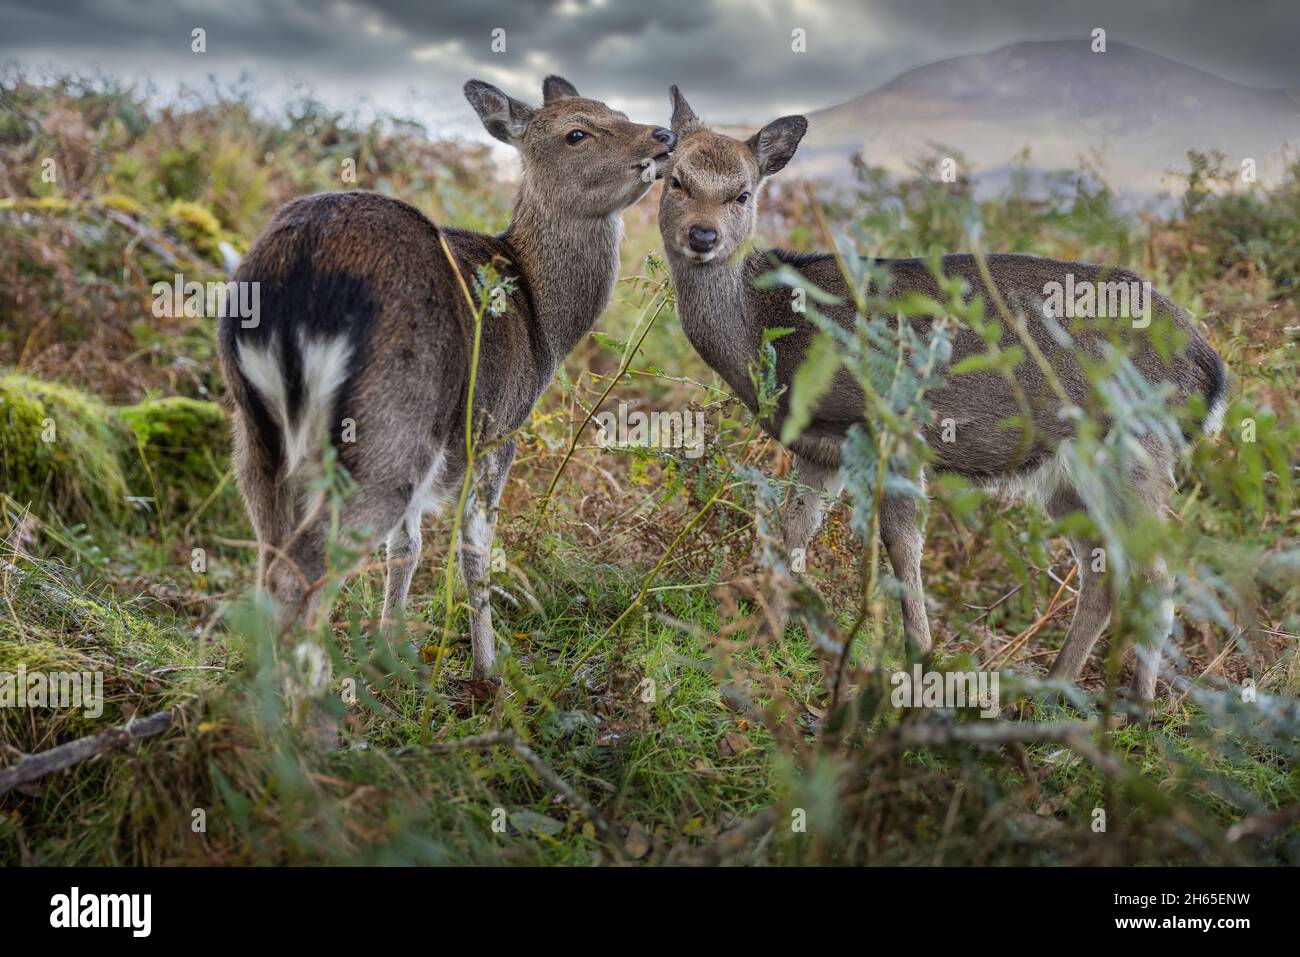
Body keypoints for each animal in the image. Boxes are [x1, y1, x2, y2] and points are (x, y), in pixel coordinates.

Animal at [217, 76, 677, 685]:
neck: (543, 327)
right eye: (577, 131)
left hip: (254, 433)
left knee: (268, 562)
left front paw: (391, 653)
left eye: (618, 111)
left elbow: (407, 544)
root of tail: (298, 269)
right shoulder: (497, 430)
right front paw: (487, 672)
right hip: (389, 424)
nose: (665, 135)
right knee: (300, 570)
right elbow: (475, 547)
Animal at [656, 86, 1227, 702]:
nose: (703, 236)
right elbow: (794, 534)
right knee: (1104, 572)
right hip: (1068, 472)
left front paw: (919, 661)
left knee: (1157, 572)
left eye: (742, 192)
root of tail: (1209, 366)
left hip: (1134, 449)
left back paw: (1137, 703)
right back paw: (1052, 686)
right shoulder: (818, 445)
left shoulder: (893, 427)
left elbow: (901, 545)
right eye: (675, 179)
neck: (770, 330)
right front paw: (768, 642)